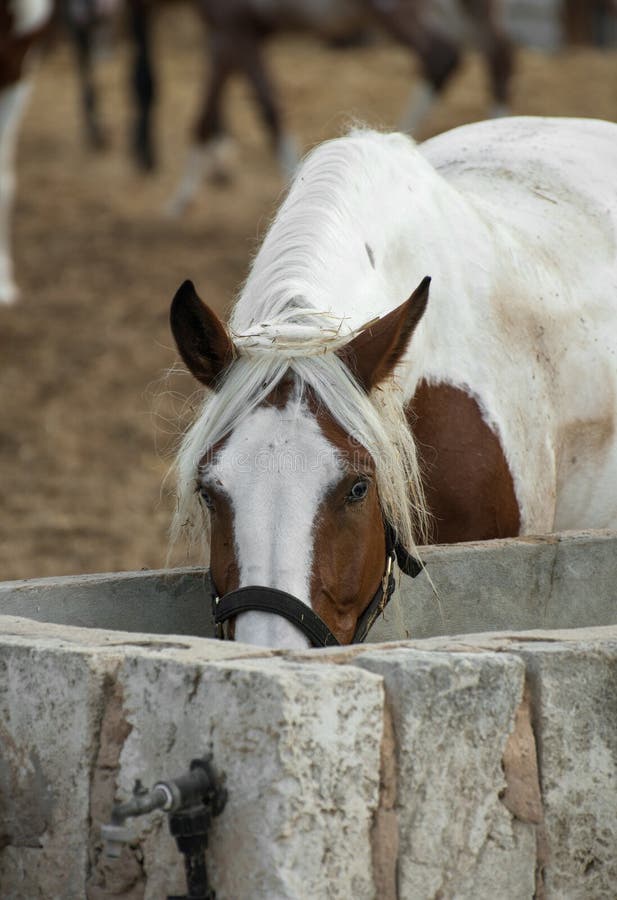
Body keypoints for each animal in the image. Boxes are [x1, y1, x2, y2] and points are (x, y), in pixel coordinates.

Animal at [167, 0, 514, 214]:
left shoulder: (231, 29)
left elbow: (261, 110)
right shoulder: (229, 34)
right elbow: (214, 113)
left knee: (441, 56)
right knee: (496, 55)